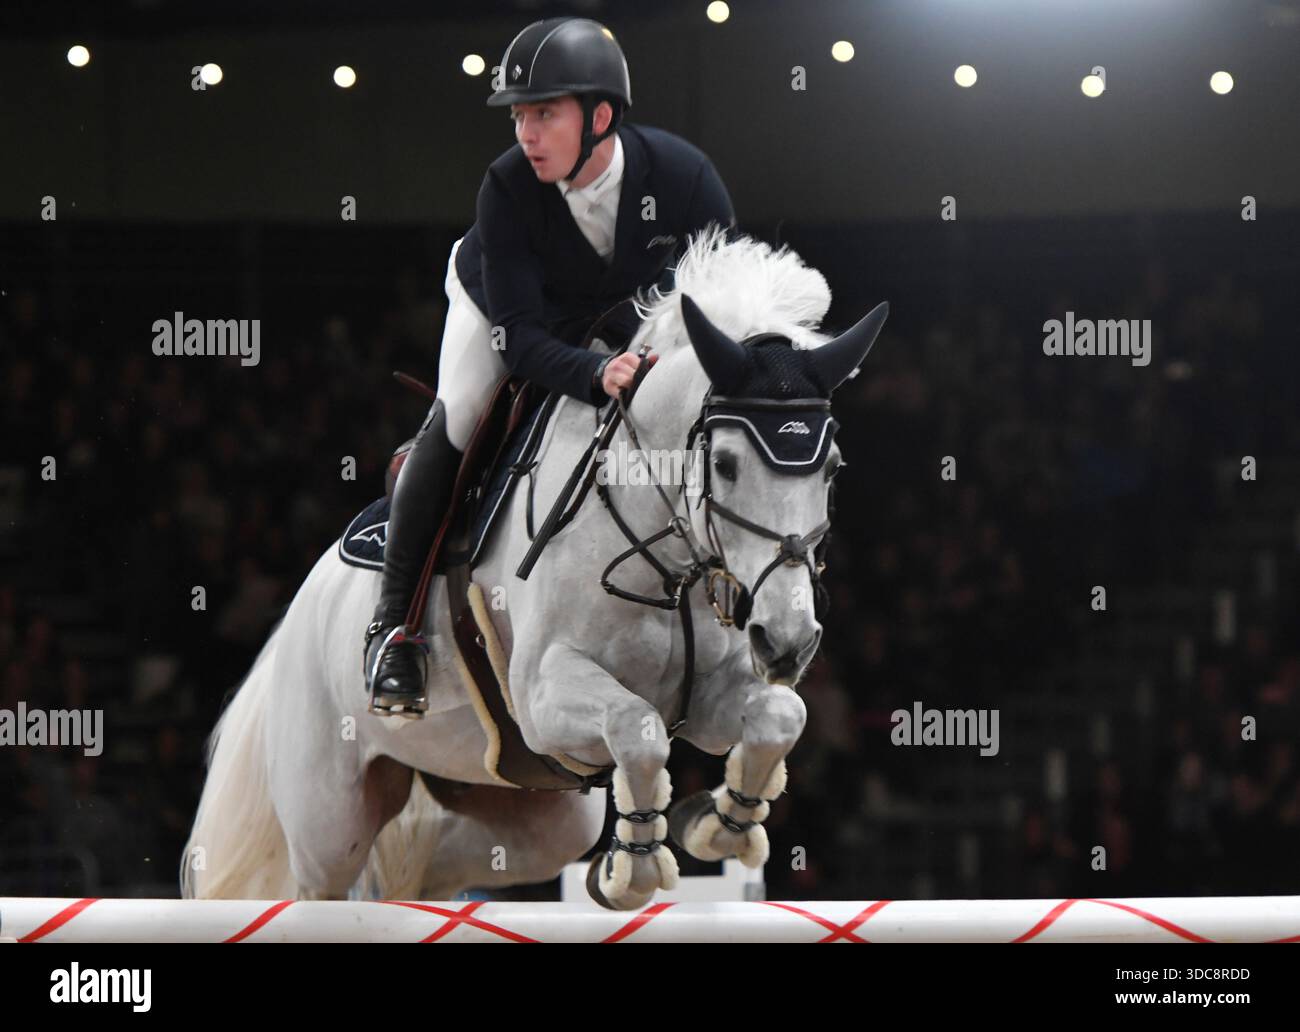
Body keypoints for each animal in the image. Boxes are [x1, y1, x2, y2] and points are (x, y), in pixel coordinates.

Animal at [180, 224, 888, 910]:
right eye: (726, 464)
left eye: (832, 467)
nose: (788, 643)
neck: (657, 551)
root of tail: (301, 610)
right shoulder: (544, 693)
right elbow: (639, 728)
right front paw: (635, 866)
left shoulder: (706, 696)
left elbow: (780, 716)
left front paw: (718, 824)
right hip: (330, 819)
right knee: (323, 883)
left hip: (526, 805)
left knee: (434, 871)